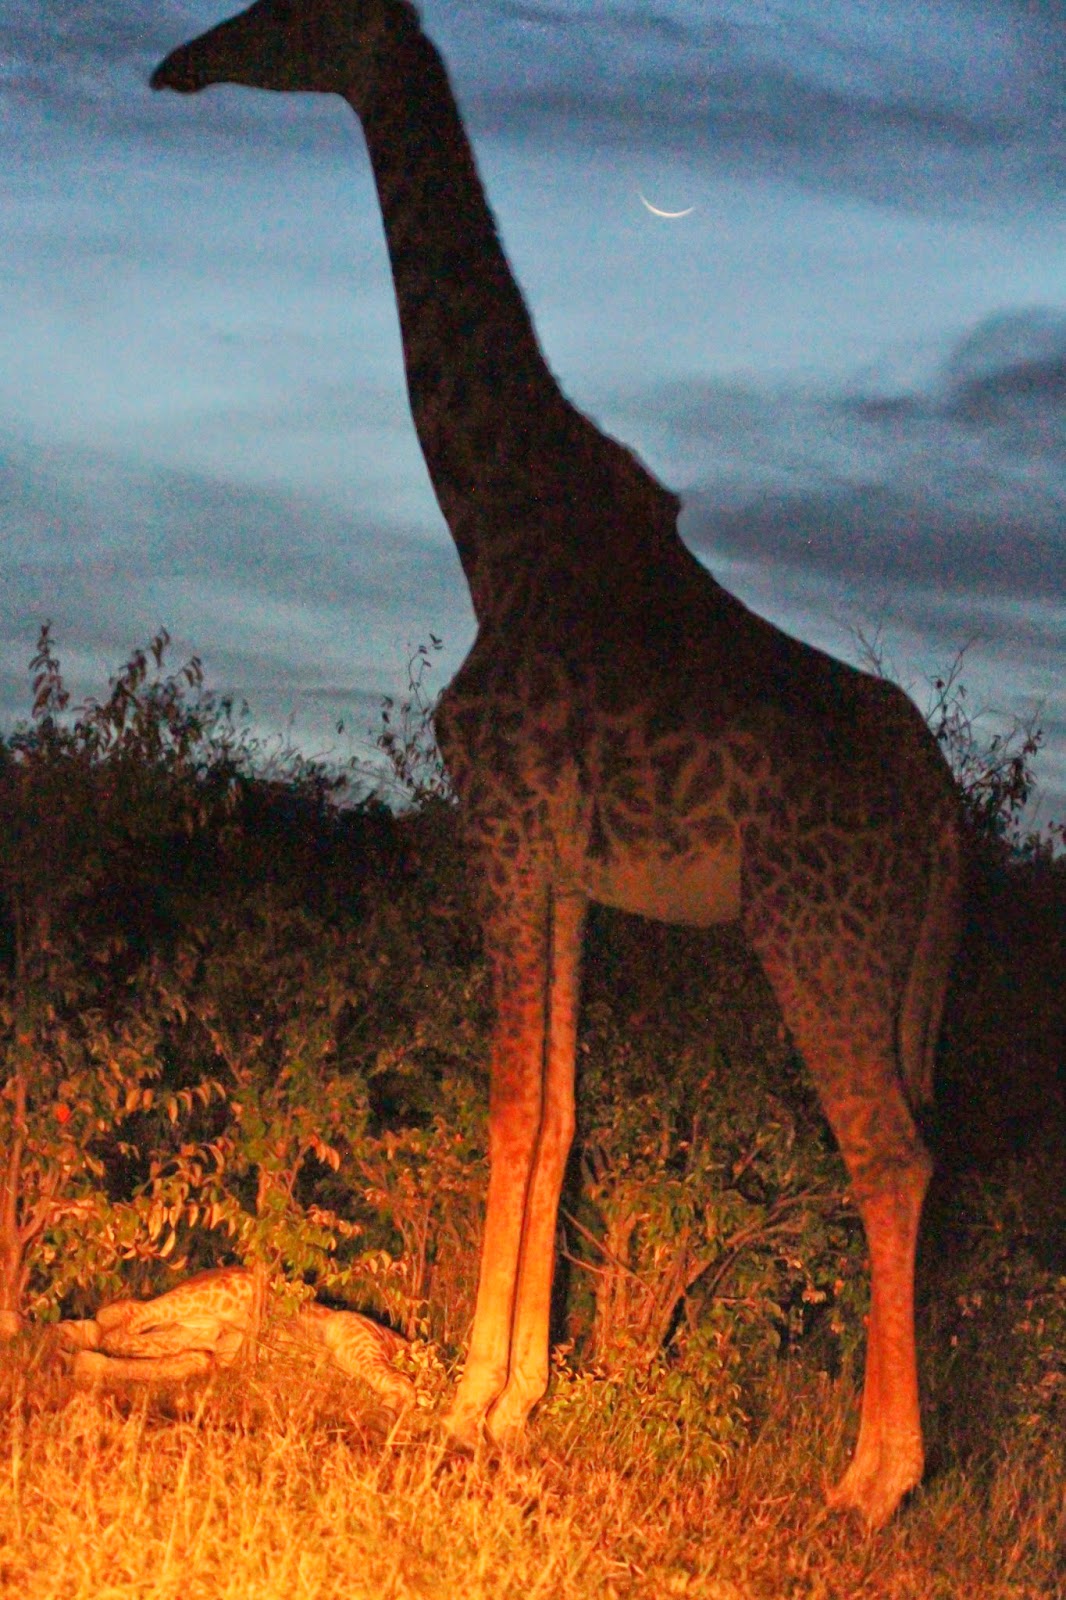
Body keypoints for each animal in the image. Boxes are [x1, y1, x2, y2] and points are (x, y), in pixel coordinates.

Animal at [151, 0, 962, 1527]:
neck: (496, 522)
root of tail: (951, 821)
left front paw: (466, 1405)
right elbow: (567, 1111)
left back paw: (869, 1484)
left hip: (815, 937)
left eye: (287, 12)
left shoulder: (503, 820)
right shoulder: (575, 871)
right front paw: (519, 1400)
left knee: (893, 1155)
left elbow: (510, 1106)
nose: (179, 64)